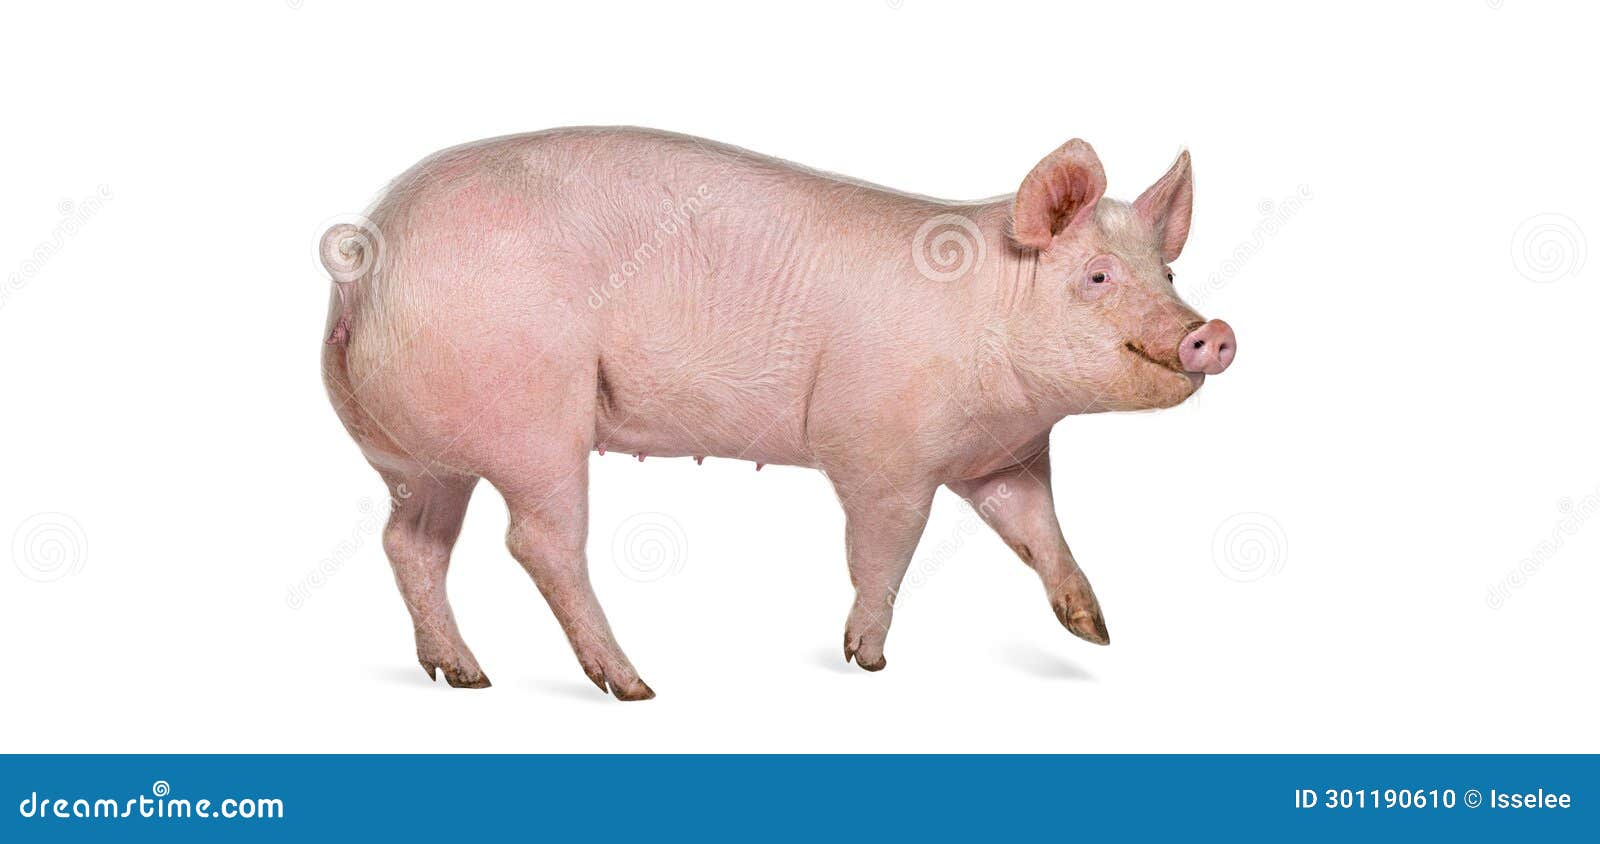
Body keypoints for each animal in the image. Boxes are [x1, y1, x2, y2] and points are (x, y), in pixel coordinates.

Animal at [319, 127, 1235, 700]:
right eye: (1097, 278)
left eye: (1169, 275)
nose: (1212, 332)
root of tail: (370, 250)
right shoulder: (879, 454)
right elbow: (884, 554)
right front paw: (867, 661)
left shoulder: (1004, 459)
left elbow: (1041, 531)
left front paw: (1096, 633)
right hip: (536, 424)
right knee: (538, 543)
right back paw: (636, 687)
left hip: (414, 452)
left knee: (410, 542)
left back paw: (463, 676)